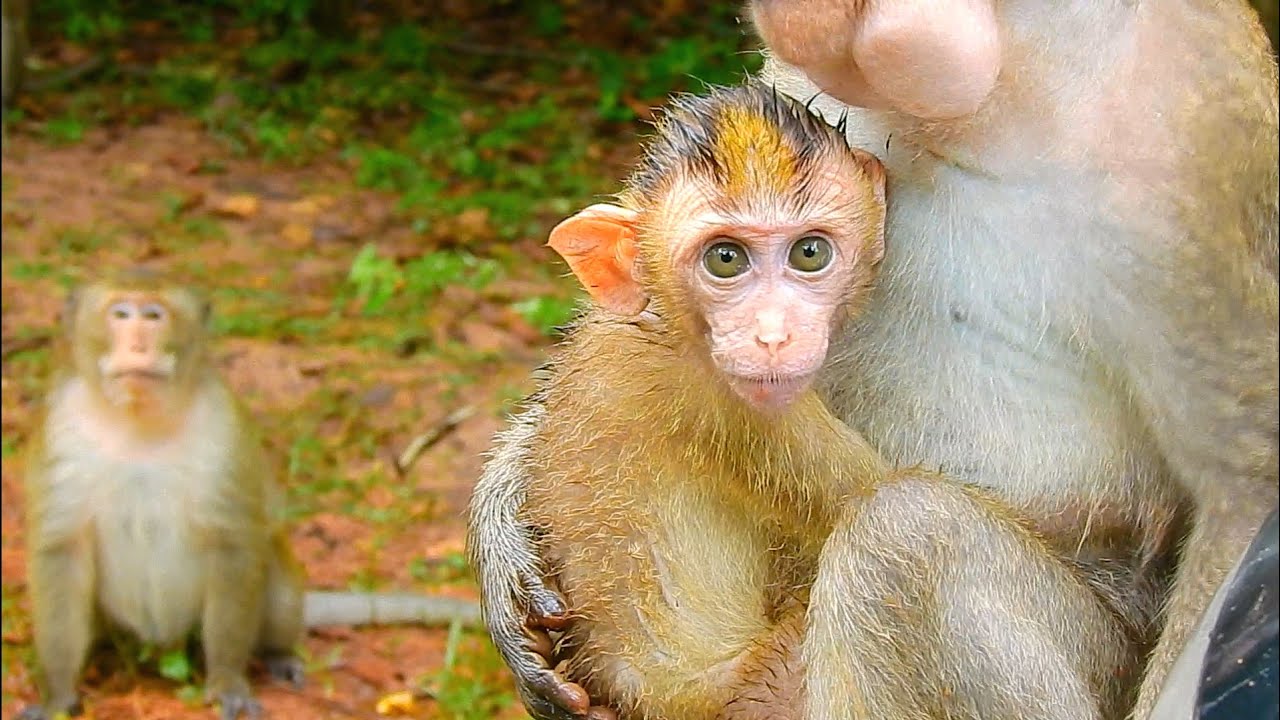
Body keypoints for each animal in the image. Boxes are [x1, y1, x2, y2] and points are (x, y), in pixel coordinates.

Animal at [16, 268, 482, 720]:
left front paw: (226, 680)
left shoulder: (222, 427)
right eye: (121, 314)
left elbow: (234, 544)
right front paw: (57, 693)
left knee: (270, 562)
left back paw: (277, 653)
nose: (137, 344)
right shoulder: (61, 430)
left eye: (152, 316)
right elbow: (62, 552)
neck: (137, 418)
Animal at [465, 0, 1280, 718]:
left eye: (810, 253)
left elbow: (1241, 486)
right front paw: (506, 542)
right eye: (725, 260)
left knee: (903, 536)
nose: (771, 334)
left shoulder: (1194, 129)